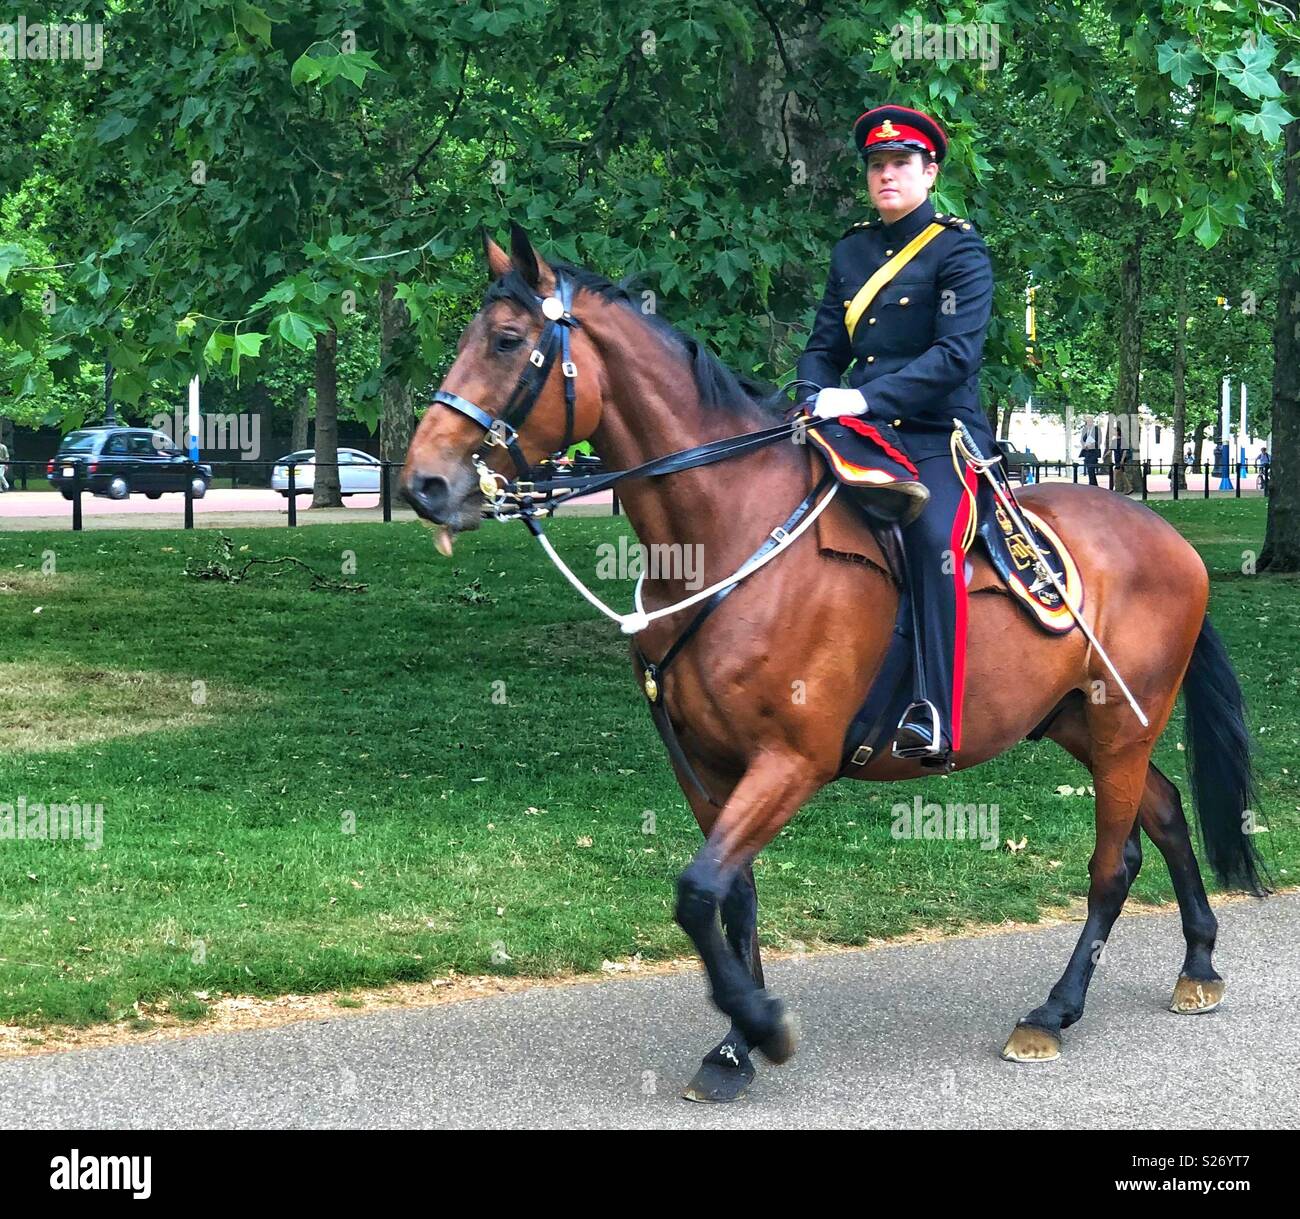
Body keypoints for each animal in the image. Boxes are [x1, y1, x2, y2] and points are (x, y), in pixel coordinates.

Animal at [401, 222, 1266, 1102]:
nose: (423, 484)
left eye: (508, 341)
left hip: (1120, 723)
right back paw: (1199, 960)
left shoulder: (792, 759)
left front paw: (762, 1025)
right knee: (1164, 813)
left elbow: (698, 890)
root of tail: (1168, 536)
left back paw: (1053, 1010)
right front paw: (733, 1046)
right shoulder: (704, 765)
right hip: (1079, 723)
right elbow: (731, 897)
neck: (726, 533)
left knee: (1112, 863)